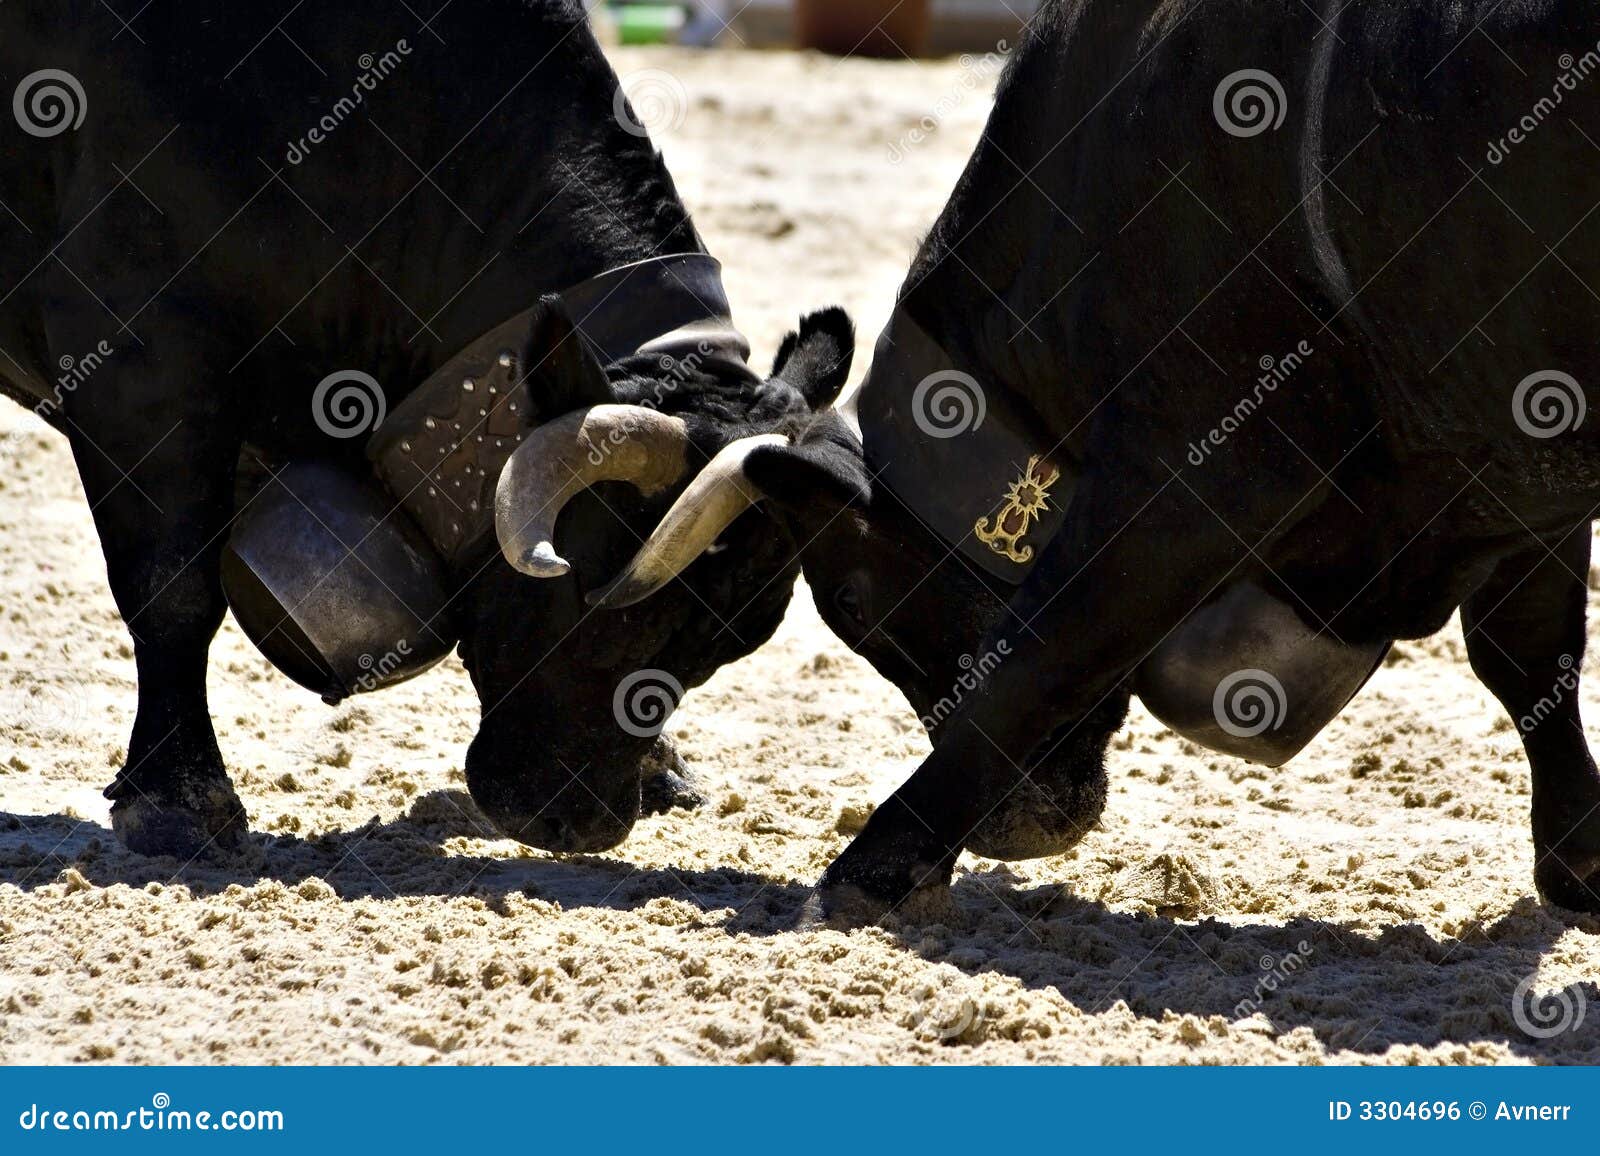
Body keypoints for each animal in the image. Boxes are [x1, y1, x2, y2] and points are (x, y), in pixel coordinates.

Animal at [0, 1, 853, 859]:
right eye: (595, 587)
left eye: (722, 643)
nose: (581, 819)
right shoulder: (138, 362)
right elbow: (173, 587)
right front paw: (179, 800)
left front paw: (663, 770)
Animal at [589, 0, 1600, 918]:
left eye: (852, 604)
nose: (1017, 829)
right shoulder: (1513, 455)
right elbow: (1525, 654)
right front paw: (1578, 863)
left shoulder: (1199, 466)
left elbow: (1037, 657)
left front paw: (873, 868)